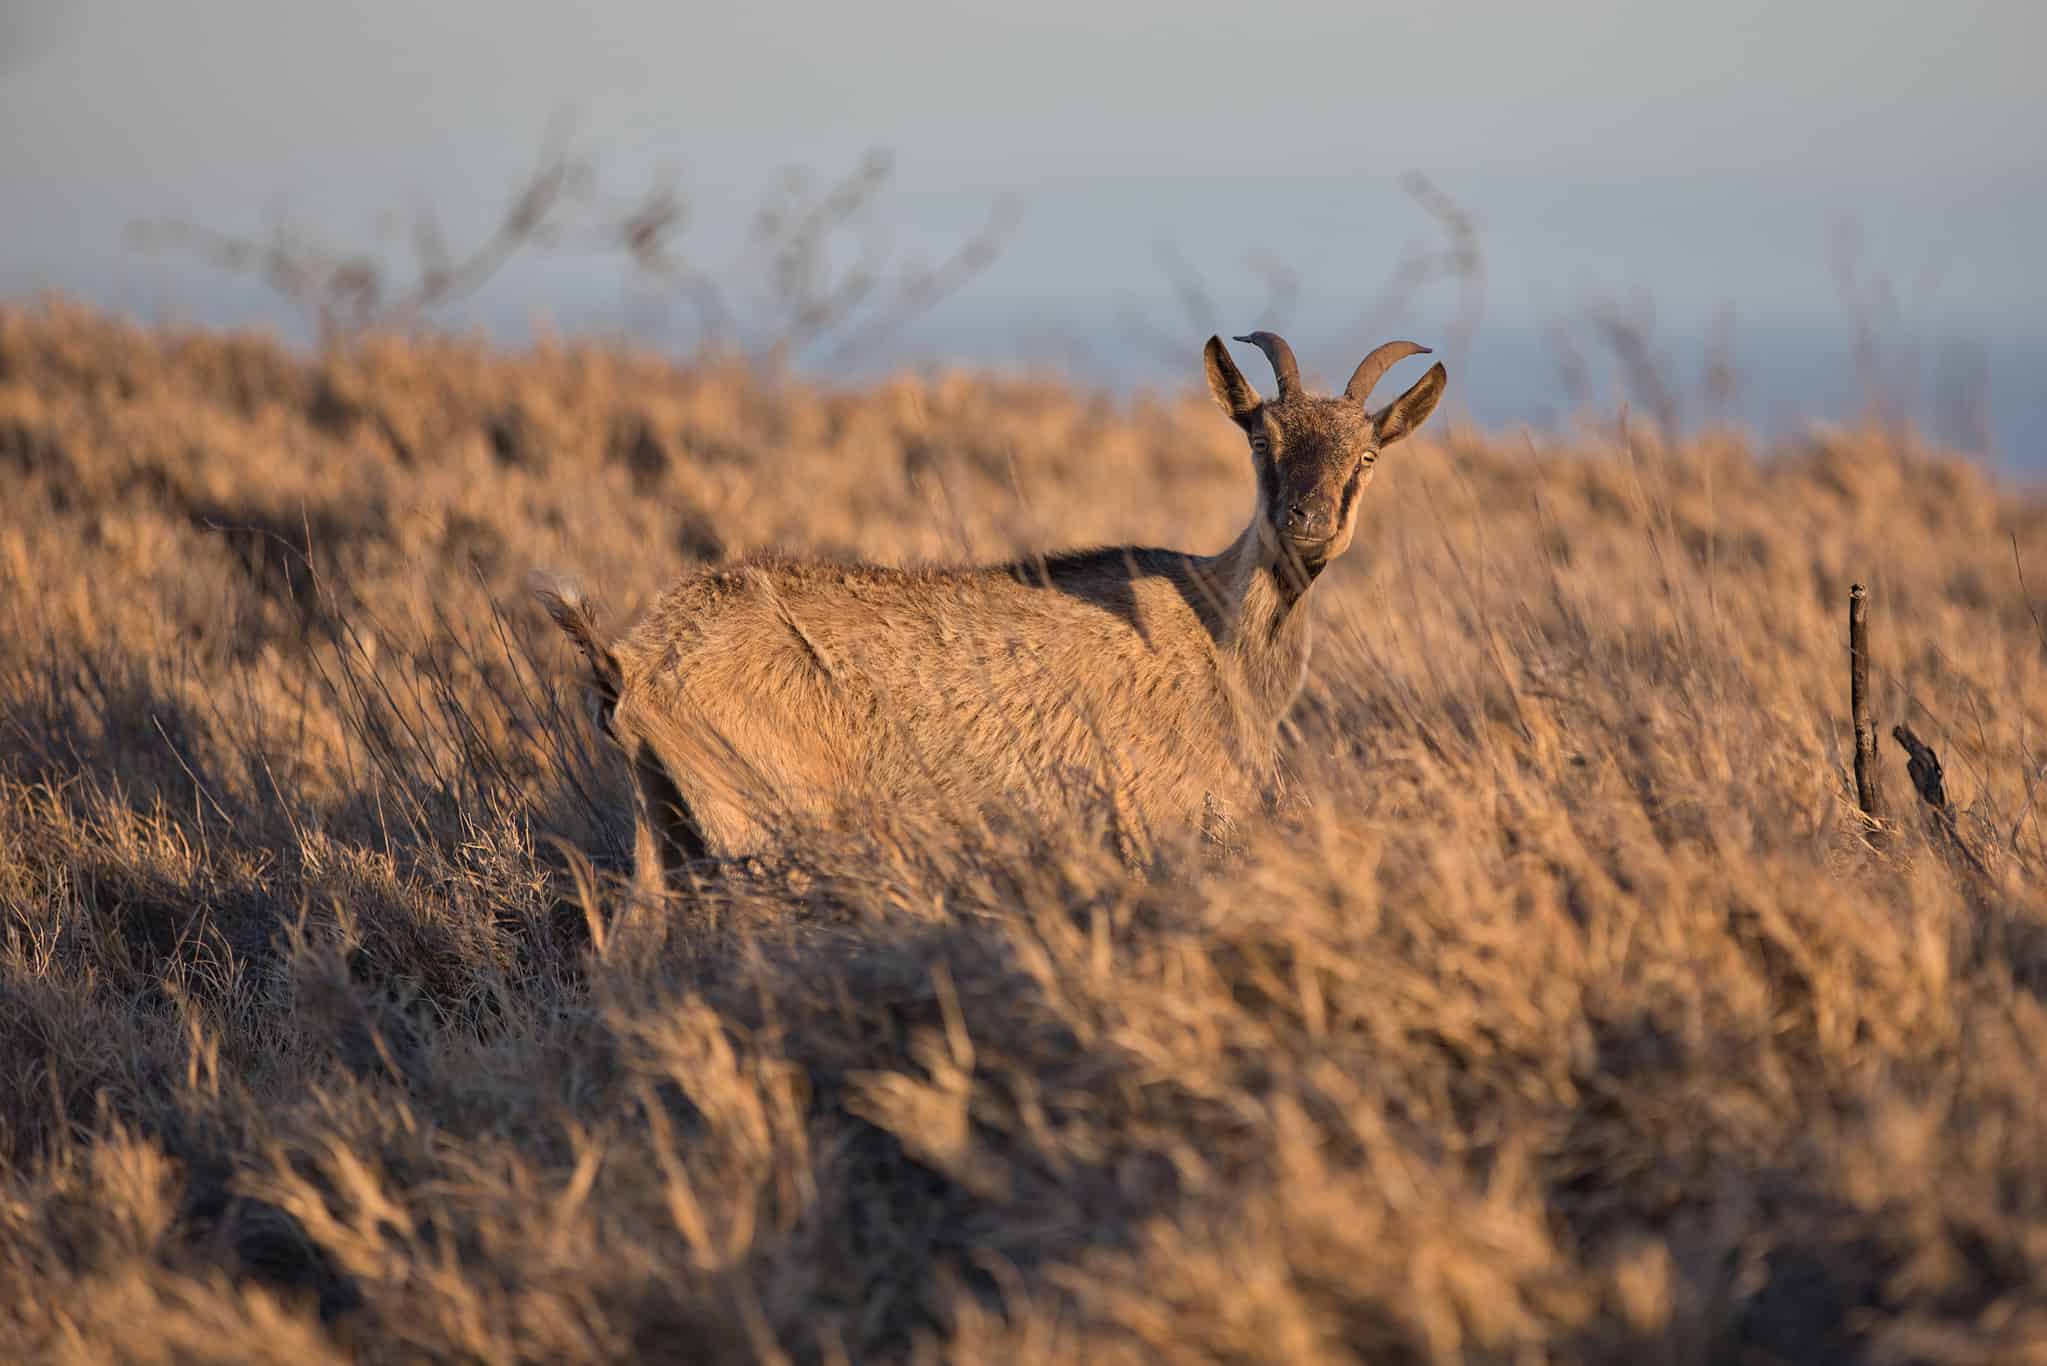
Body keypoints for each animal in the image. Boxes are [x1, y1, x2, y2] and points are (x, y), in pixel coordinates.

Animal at [534, 333, 1446, 888]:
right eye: (1261, 441)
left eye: (1366, 455)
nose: (1307, 521)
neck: (1218, 633)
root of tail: (632, 663)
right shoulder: (1160, 817)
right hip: (760, 819)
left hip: (662, 822)